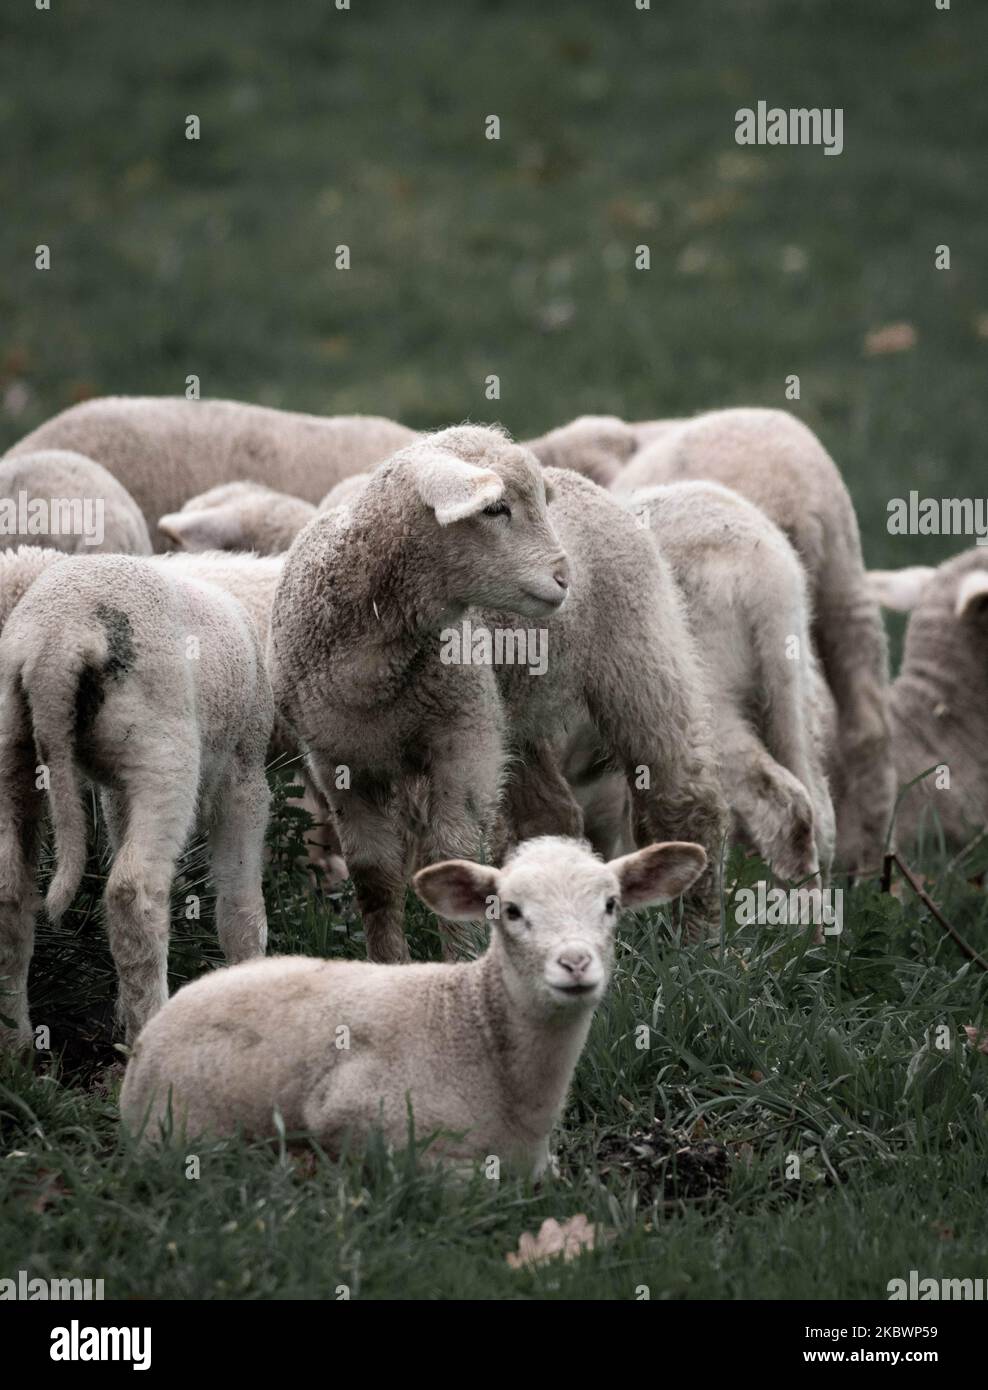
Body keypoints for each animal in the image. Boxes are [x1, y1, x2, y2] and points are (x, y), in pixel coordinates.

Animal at [0, 549, 274, 1048]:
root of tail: (57, 641)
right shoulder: (244, 771)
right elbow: (241, 903)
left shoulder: (116, 790)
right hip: (163, 749)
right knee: (133, 891)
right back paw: (149, 1032)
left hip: (13, 740)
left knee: (10, 890)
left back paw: (17, 1047)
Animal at [269, 423, 729, 962]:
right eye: (494, 509)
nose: (564, 578)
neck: (374, 663)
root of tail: (589, 484)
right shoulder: (340, 762)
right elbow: (374, 878)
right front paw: (388, 963)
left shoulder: (463, 739)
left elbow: (453, 853)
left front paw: (463, 958)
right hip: (509, 712)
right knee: (552, 811)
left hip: (640, 655)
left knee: (687, 795)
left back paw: (701, 944)